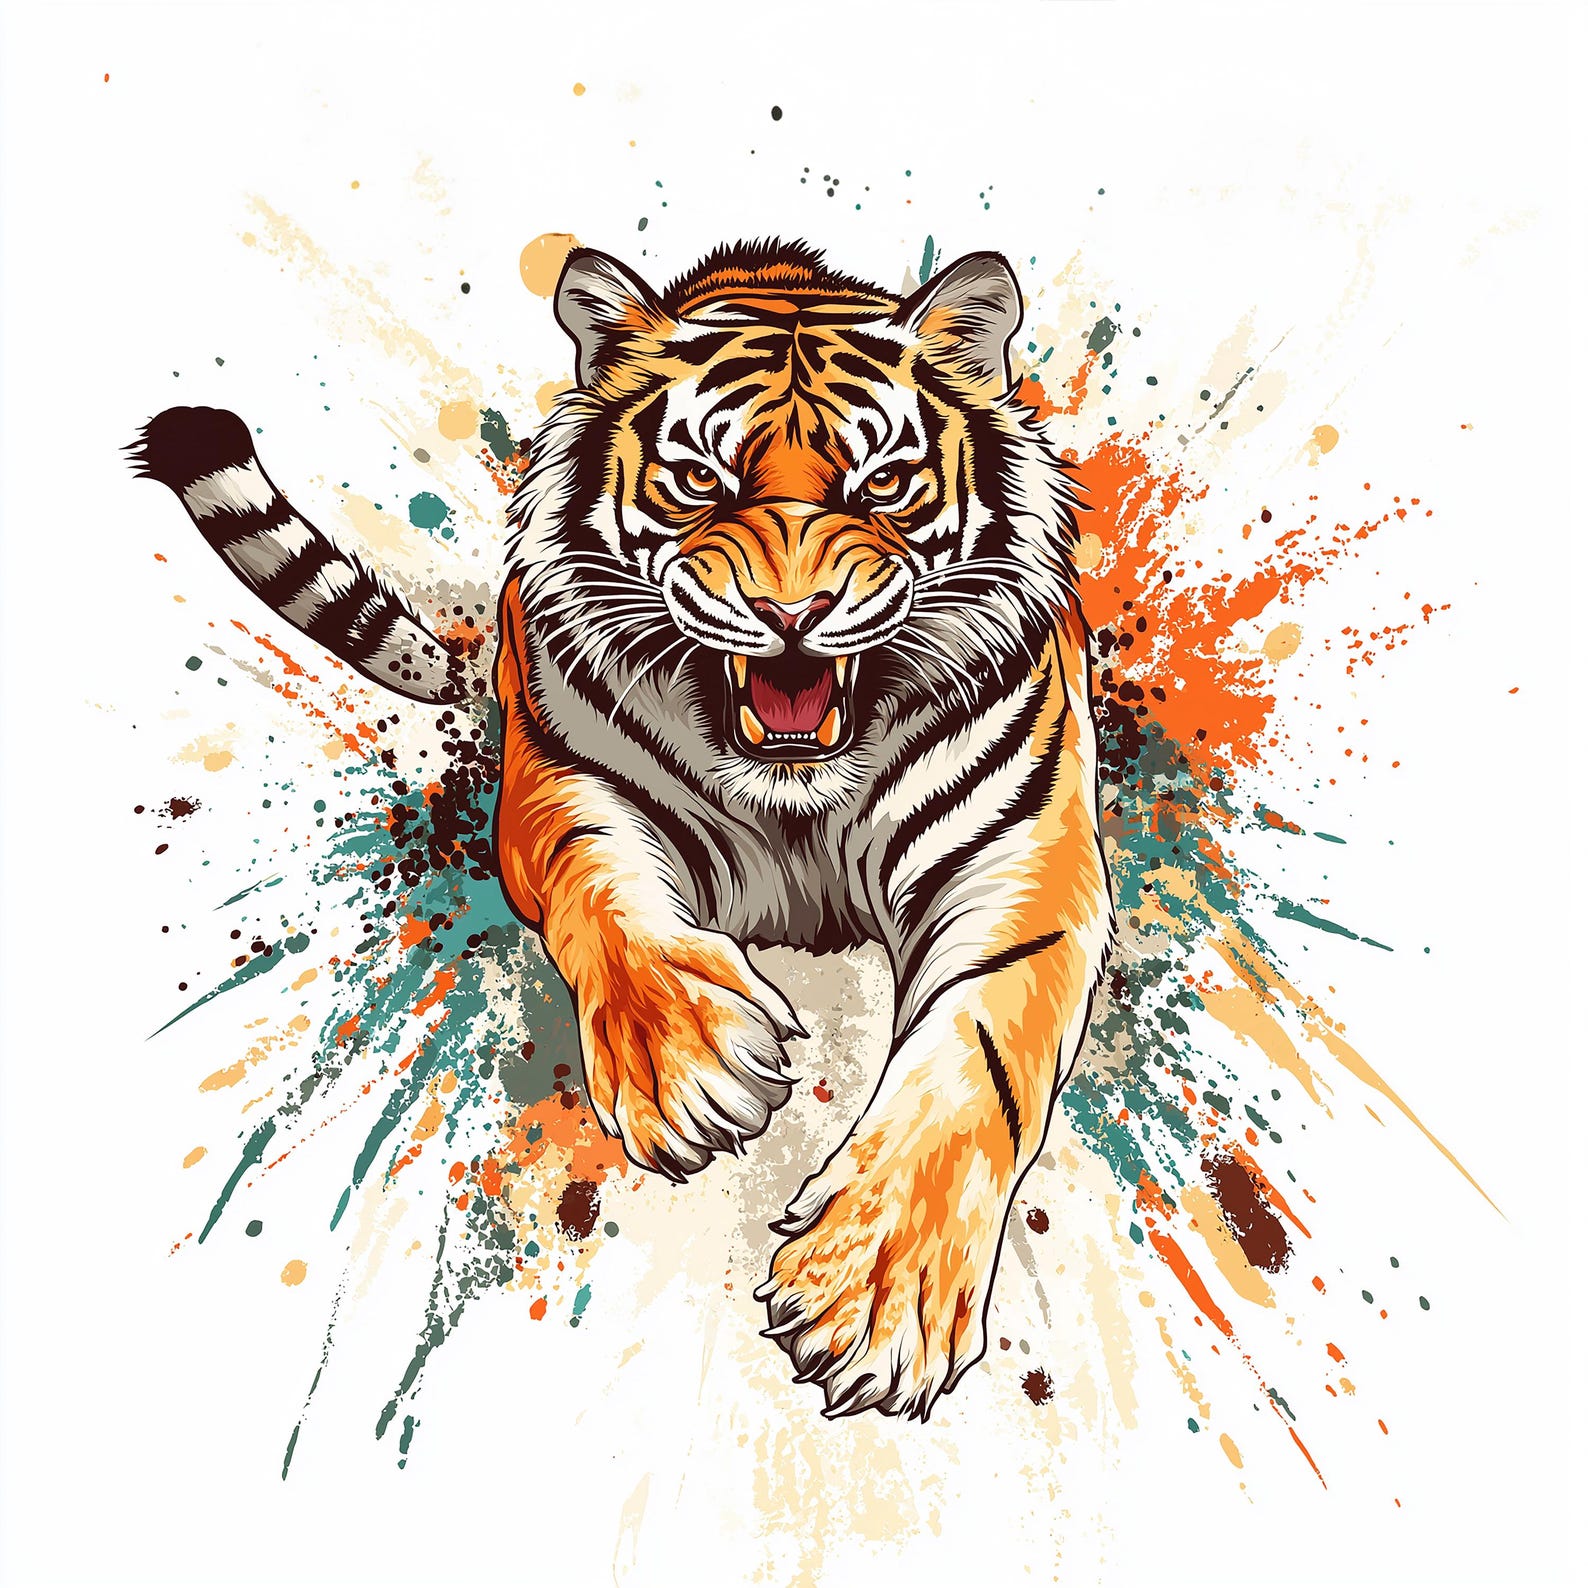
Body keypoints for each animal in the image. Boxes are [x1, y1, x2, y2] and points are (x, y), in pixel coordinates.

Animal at [131, 238, 1114, 1422]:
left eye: (883, 483)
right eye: (700, 481)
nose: (792, 615)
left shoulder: (1023, 861)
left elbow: (978, 1060)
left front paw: (877, 1292)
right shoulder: (567, 788)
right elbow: (608, 899)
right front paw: (690, 1063)